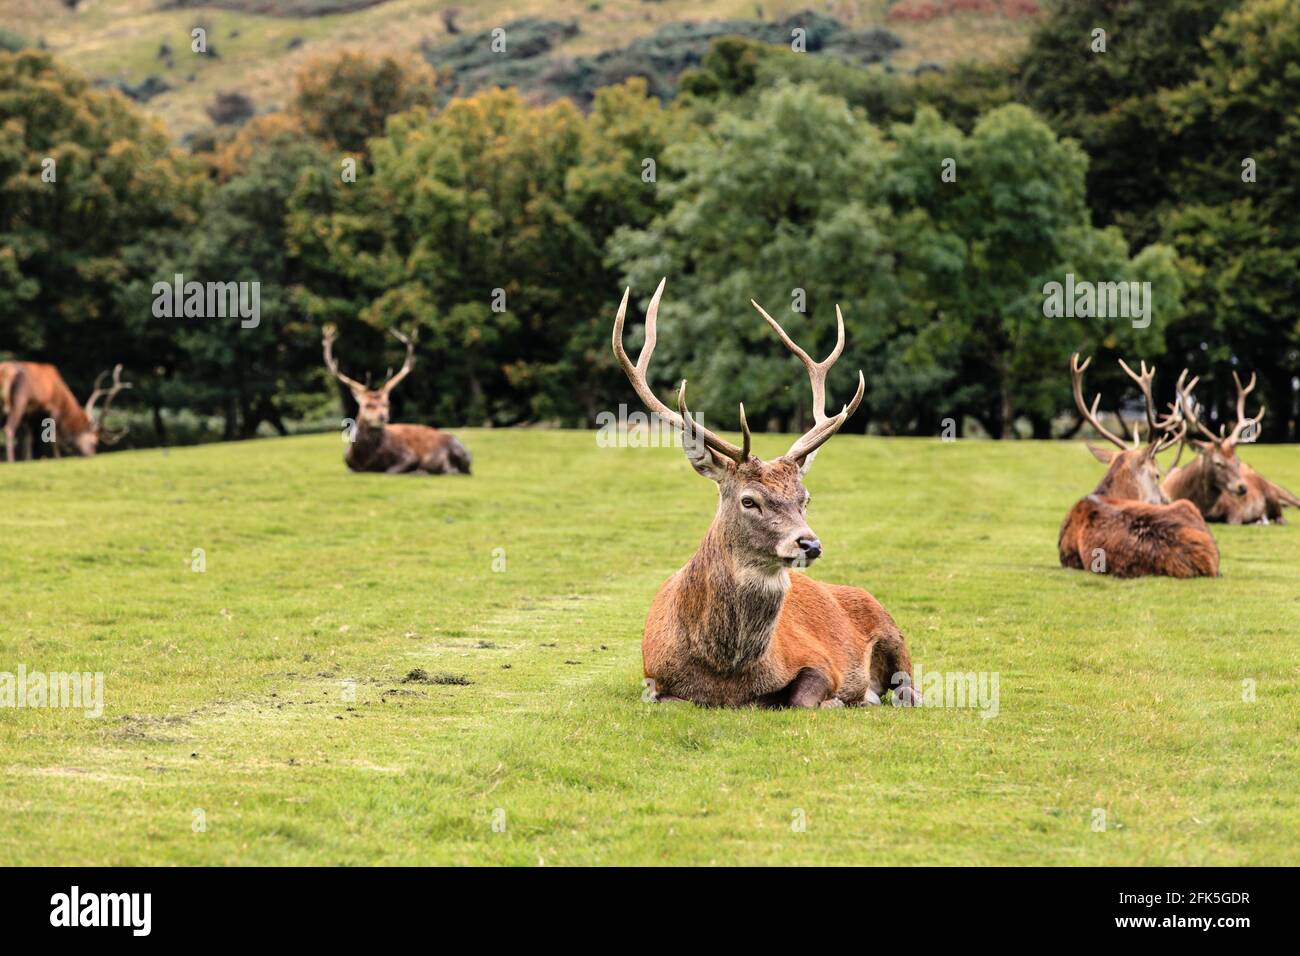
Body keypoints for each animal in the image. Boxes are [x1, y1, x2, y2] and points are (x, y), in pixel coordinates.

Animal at [1, 361, 131, 463]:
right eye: (94, 443)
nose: (90, 455)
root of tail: (4, 373)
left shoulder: (30, 414)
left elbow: (29, 439)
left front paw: (27, 460)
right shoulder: (54, 408)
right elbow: (53, 435)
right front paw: (57, 458)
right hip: (19, 400)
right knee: (9, 428)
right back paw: (11, 461)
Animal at [322, 325, 471, 475]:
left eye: (387, 404)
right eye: (368, 405)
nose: (383, 416)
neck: (366, 460)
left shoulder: (408, 455)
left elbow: (390, 471)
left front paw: (414, 470)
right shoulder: (348, 465)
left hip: (458, 450)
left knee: (459, 471)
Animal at [612, 279, 919, 709]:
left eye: (805, 498)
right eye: (749, 500)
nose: (809, 543)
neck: (725, 675)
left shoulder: (821, 661)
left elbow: (801, 697)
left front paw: (841, 699)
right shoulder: (653, 678)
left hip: (890, 628)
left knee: (908, 683)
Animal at [1162, 371, 1299, 525]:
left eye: (1237, 461)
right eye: (1218, 462)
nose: (1242, 487)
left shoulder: (1236, 510)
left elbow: (1234, 519)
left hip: (1272, 494)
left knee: (1282, 516)